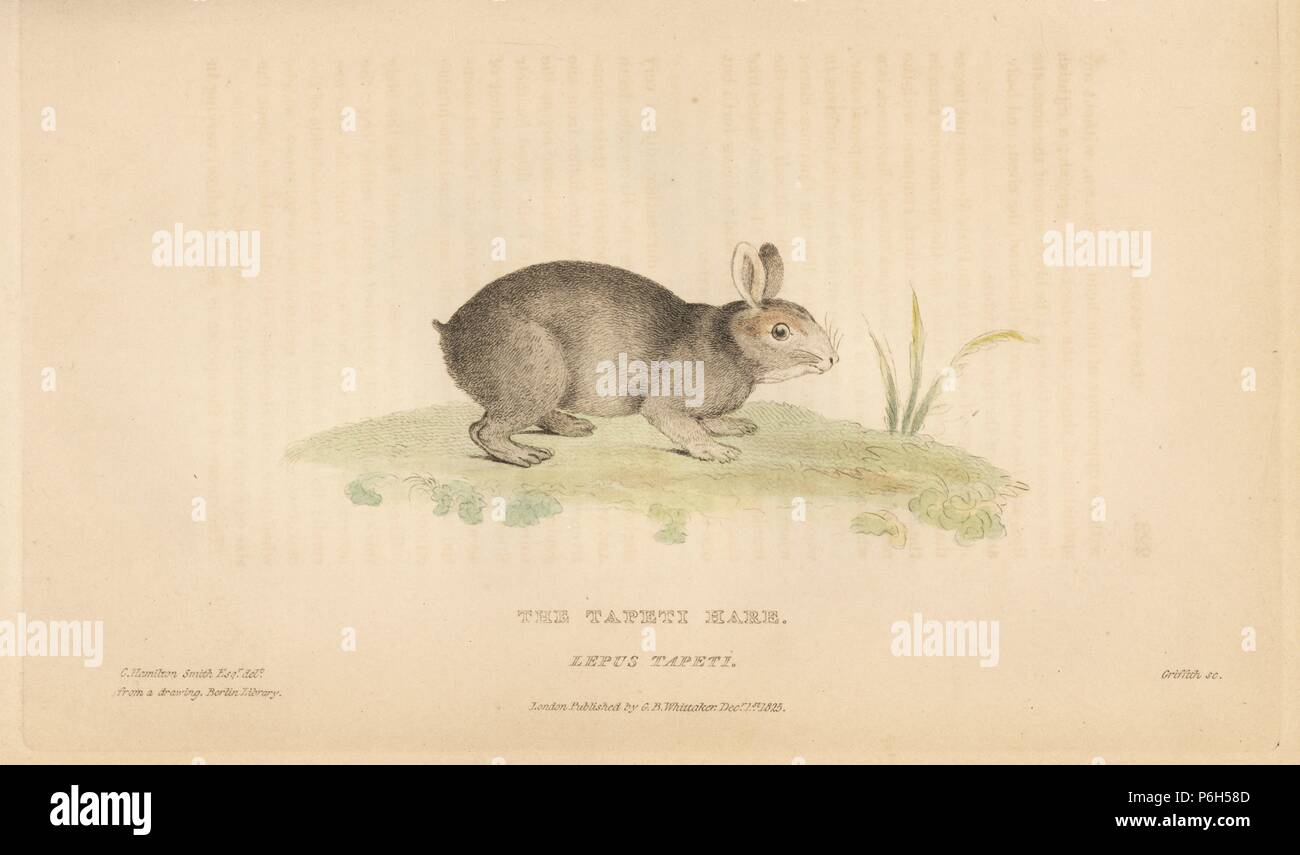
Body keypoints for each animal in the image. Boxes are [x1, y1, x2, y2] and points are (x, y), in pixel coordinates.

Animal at [431, 241, 839, 467]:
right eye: (780, 331)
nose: (832, 360)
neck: (730, 342)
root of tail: (450, 334)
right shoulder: (666, 400)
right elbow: (683, 427)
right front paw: (717, 451)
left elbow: (707, 419)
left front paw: (736, 426)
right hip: (537, 371)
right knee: (482, 430)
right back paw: (525, 456)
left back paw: (573, 426)